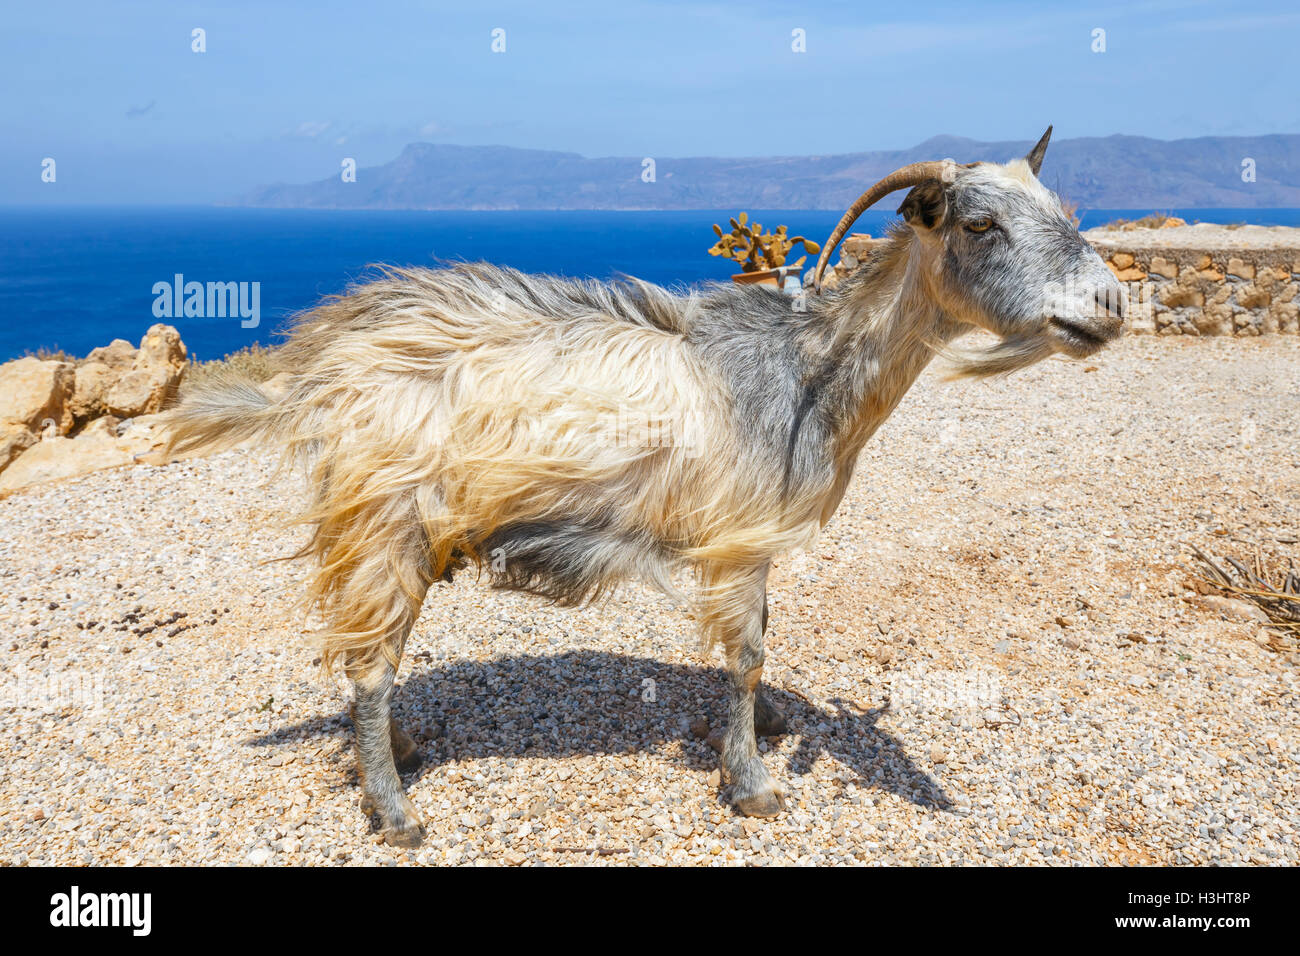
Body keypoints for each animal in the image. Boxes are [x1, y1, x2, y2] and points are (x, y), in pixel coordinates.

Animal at [164, 127, 1124, 847]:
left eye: (1066, 214)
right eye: (980, 224)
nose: (1110, 306)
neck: (805, 371)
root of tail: (328, 364)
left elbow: (763, 643)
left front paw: (767, 733)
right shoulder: (740, 535)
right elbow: (746, 654)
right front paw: (752, 783)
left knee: (366, 654)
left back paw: (398, 748)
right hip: (383, 520)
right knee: (369, 662)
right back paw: (395, 809)